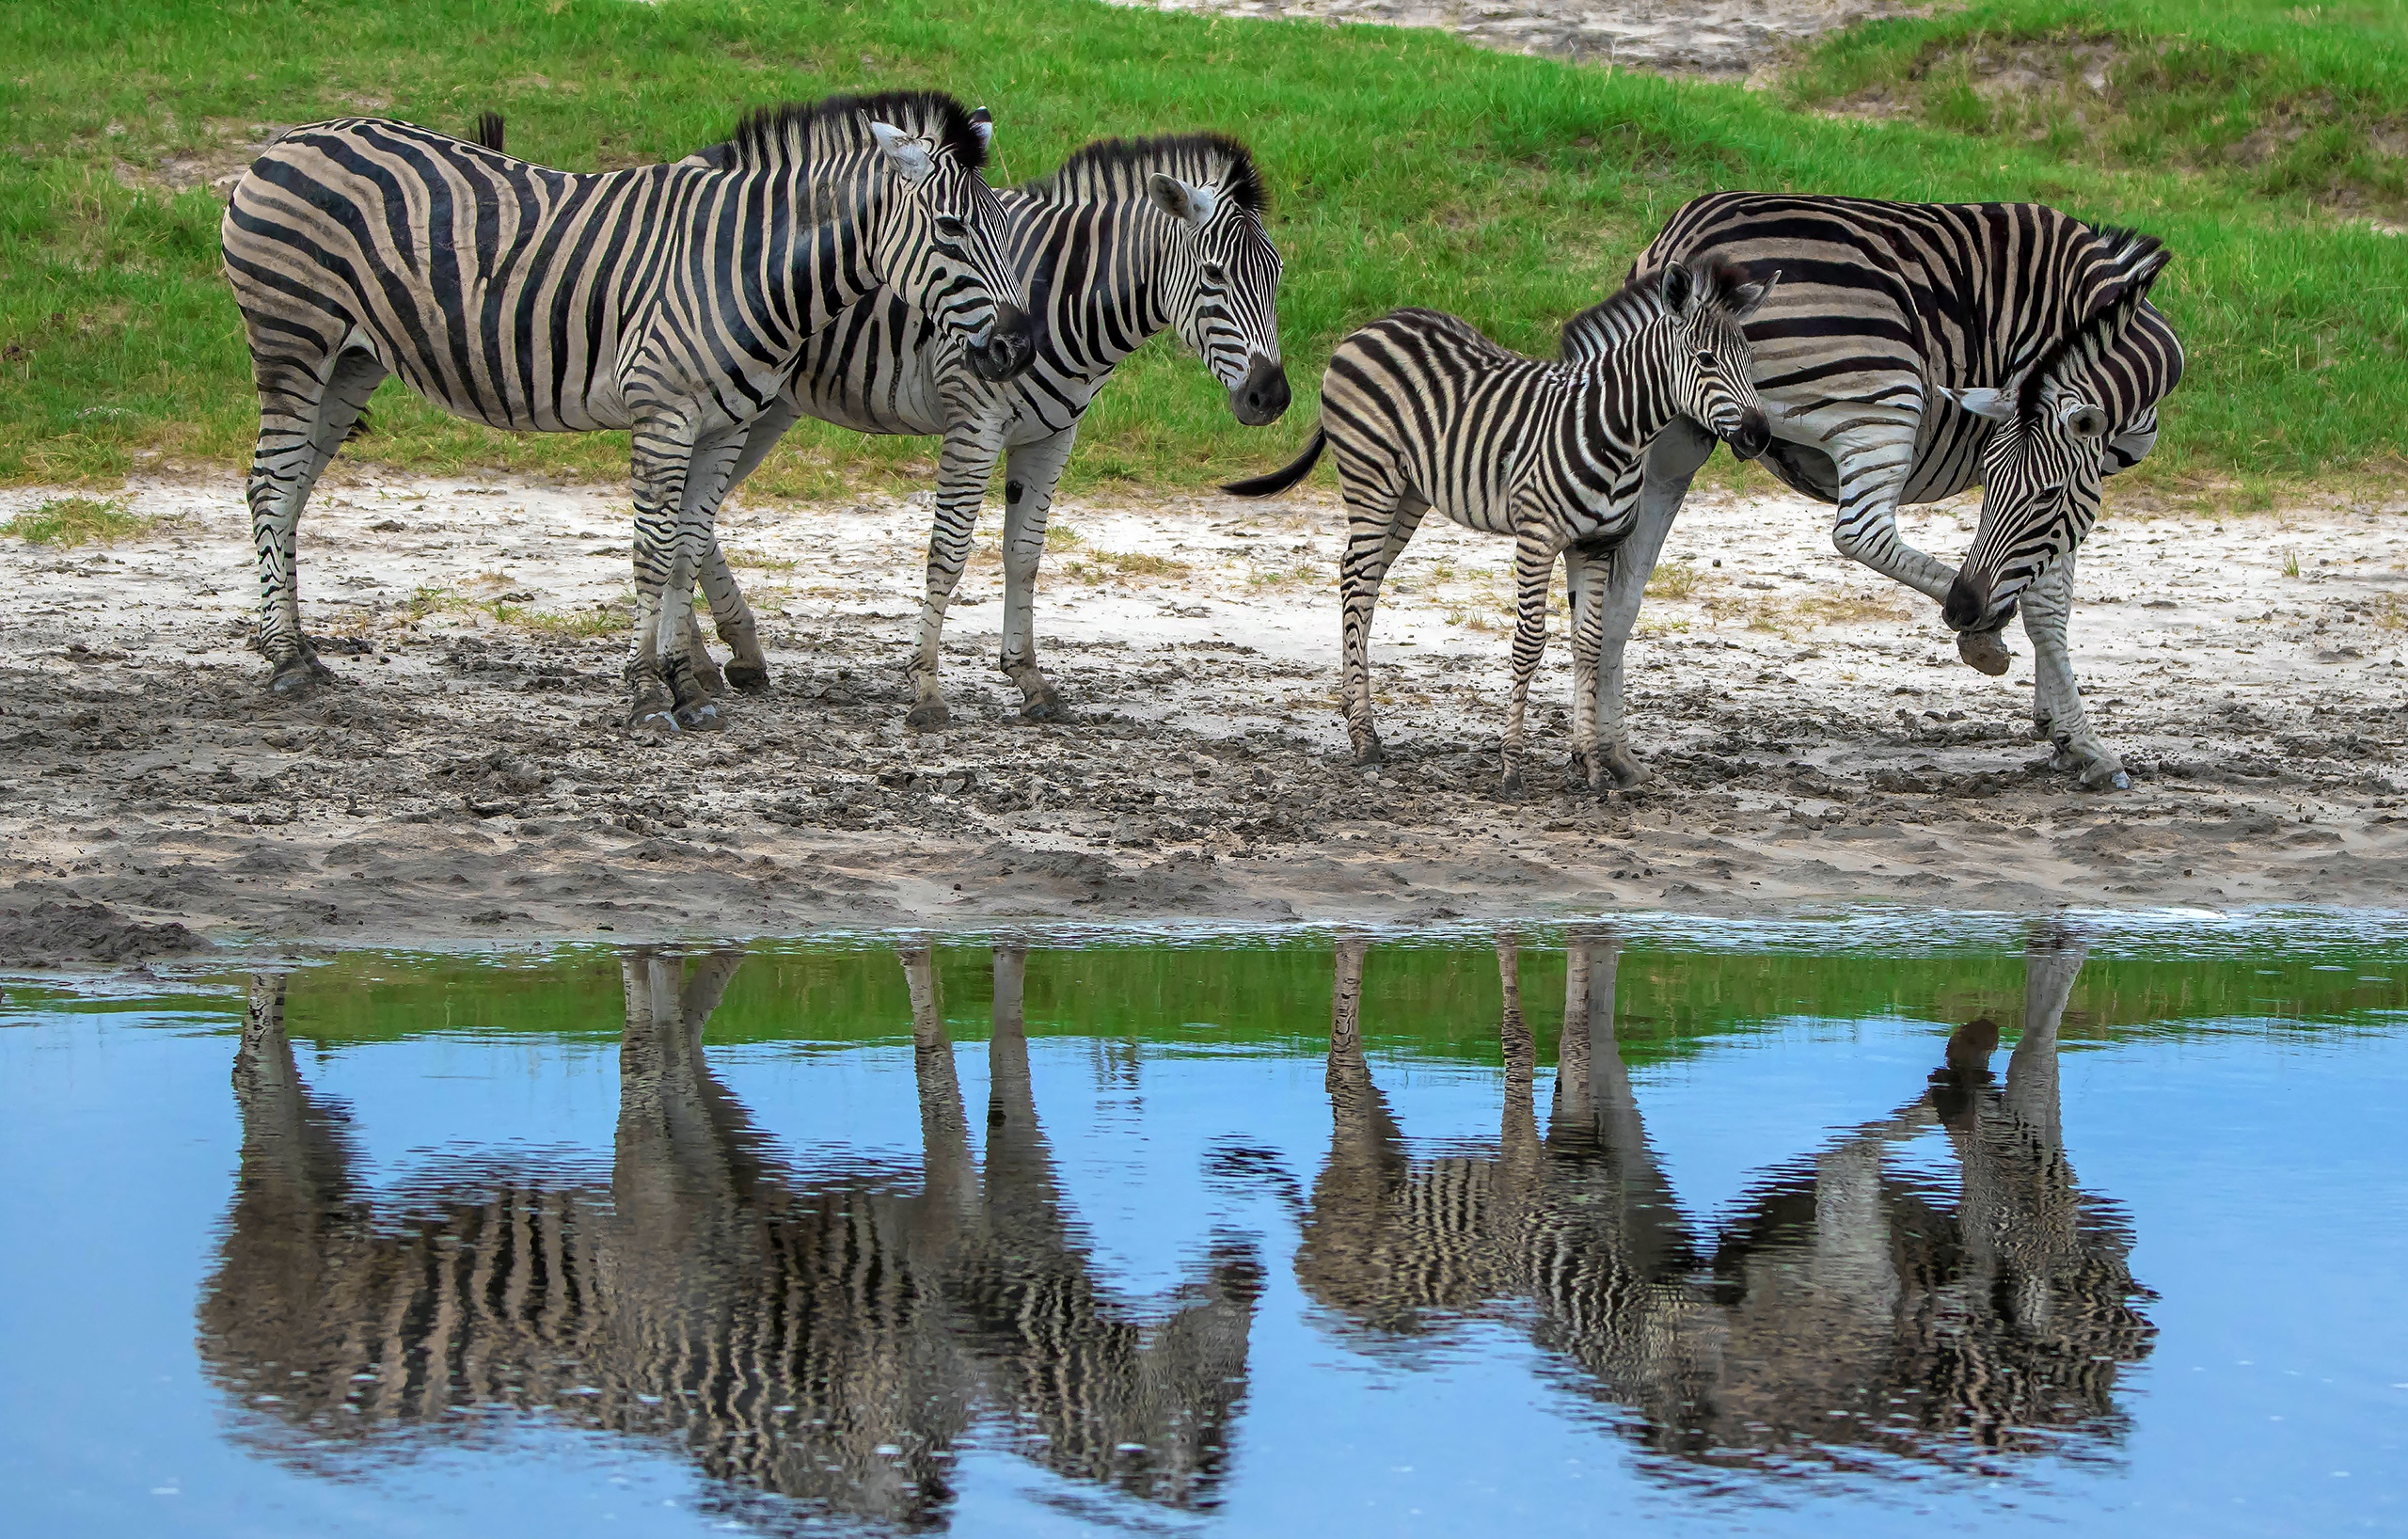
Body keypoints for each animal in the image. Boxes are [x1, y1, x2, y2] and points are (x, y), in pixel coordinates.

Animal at [204, 948, 1257, 1525]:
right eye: (1213, 1400)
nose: (1248, 1274)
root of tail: (241, 1389)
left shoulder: (1012, 1183)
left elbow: (1005, 1040)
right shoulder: (939, 1218)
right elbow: (938, 1068)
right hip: (295, 1201)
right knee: (253, 1072)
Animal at [220, 93, 1036, 733]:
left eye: (1006, 227)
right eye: (953, 231)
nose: (1020, 346)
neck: (745, 266)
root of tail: (291, 137)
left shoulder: (724, 426)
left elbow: (686, 548)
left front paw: (685, 689)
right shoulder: (664, 416)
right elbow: (652, 552)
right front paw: (646, 696)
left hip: (352, 363)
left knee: (292, 488)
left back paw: (300, 650)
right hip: (292, 343)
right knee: (271, 485)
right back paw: (285, 662)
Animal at [651, 133, 1289, 725]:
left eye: (1277, 274)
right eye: (1213, 275)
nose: (1273, 397)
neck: (1062, 294)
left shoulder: (1053, 436)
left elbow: (1025, 554)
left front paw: (1030, 679)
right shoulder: (974, 422)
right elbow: (949, 553)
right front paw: (926, 690)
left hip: (764, 407)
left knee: (695, 520)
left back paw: (719, 659)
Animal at [1222, 259, 1776, 794]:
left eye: (1752, 361)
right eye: (1705, 360)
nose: (1759, 435)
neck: (1617, 434)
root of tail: (1373, 325)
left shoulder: (1595, 545)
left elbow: (1590, 642)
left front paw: (1593, 769)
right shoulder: (1537, 537)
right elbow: (1530, 642)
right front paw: (1511, 768)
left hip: (1410, 491)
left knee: (1358, 574)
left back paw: (1355, 712)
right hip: (1370, 476)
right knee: (1358, 585)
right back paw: (1364, 738)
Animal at [1579, 194, 2181, 791]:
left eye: (2045, 494)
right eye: (1997, 479)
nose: (1967, 607)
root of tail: (1680, 239)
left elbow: (2040, 589)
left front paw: (2054, 728)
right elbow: (2046, 607)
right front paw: (2085, 745)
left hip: (1670, 441)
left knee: (1621, 591)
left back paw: (1612, 751)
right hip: (1884, 402)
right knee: (1861, 533)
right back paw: (1984, 631)